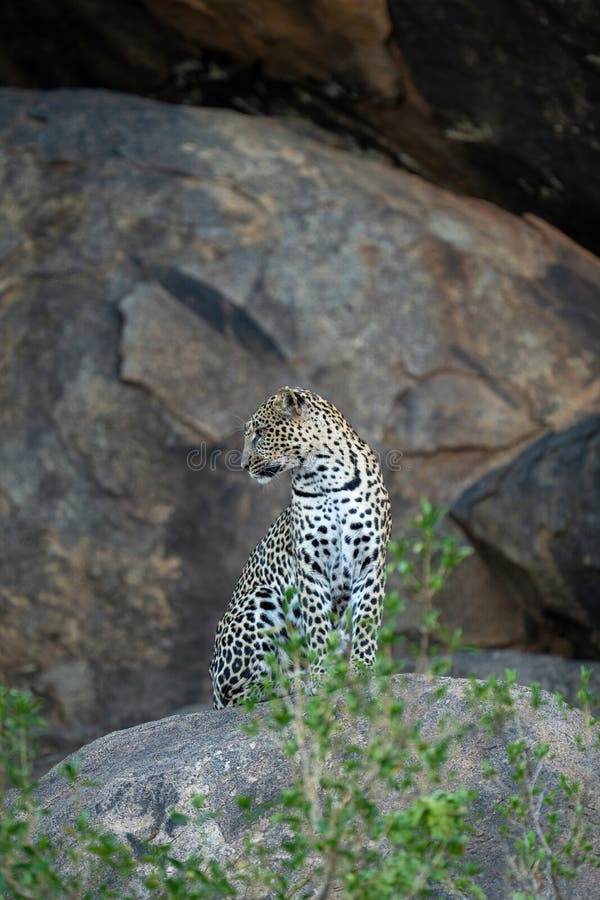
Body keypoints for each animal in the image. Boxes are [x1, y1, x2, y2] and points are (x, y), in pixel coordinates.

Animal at [209, 386, 392, 708]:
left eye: (260, 434)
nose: (244, 465)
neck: (326, 475)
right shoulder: (310, 564)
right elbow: (317, 621)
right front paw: (321, 675)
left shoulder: (371, 560)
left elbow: (367, 618)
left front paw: (362, 668)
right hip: (260, 598)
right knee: (239, 692)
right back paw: (292, 682)